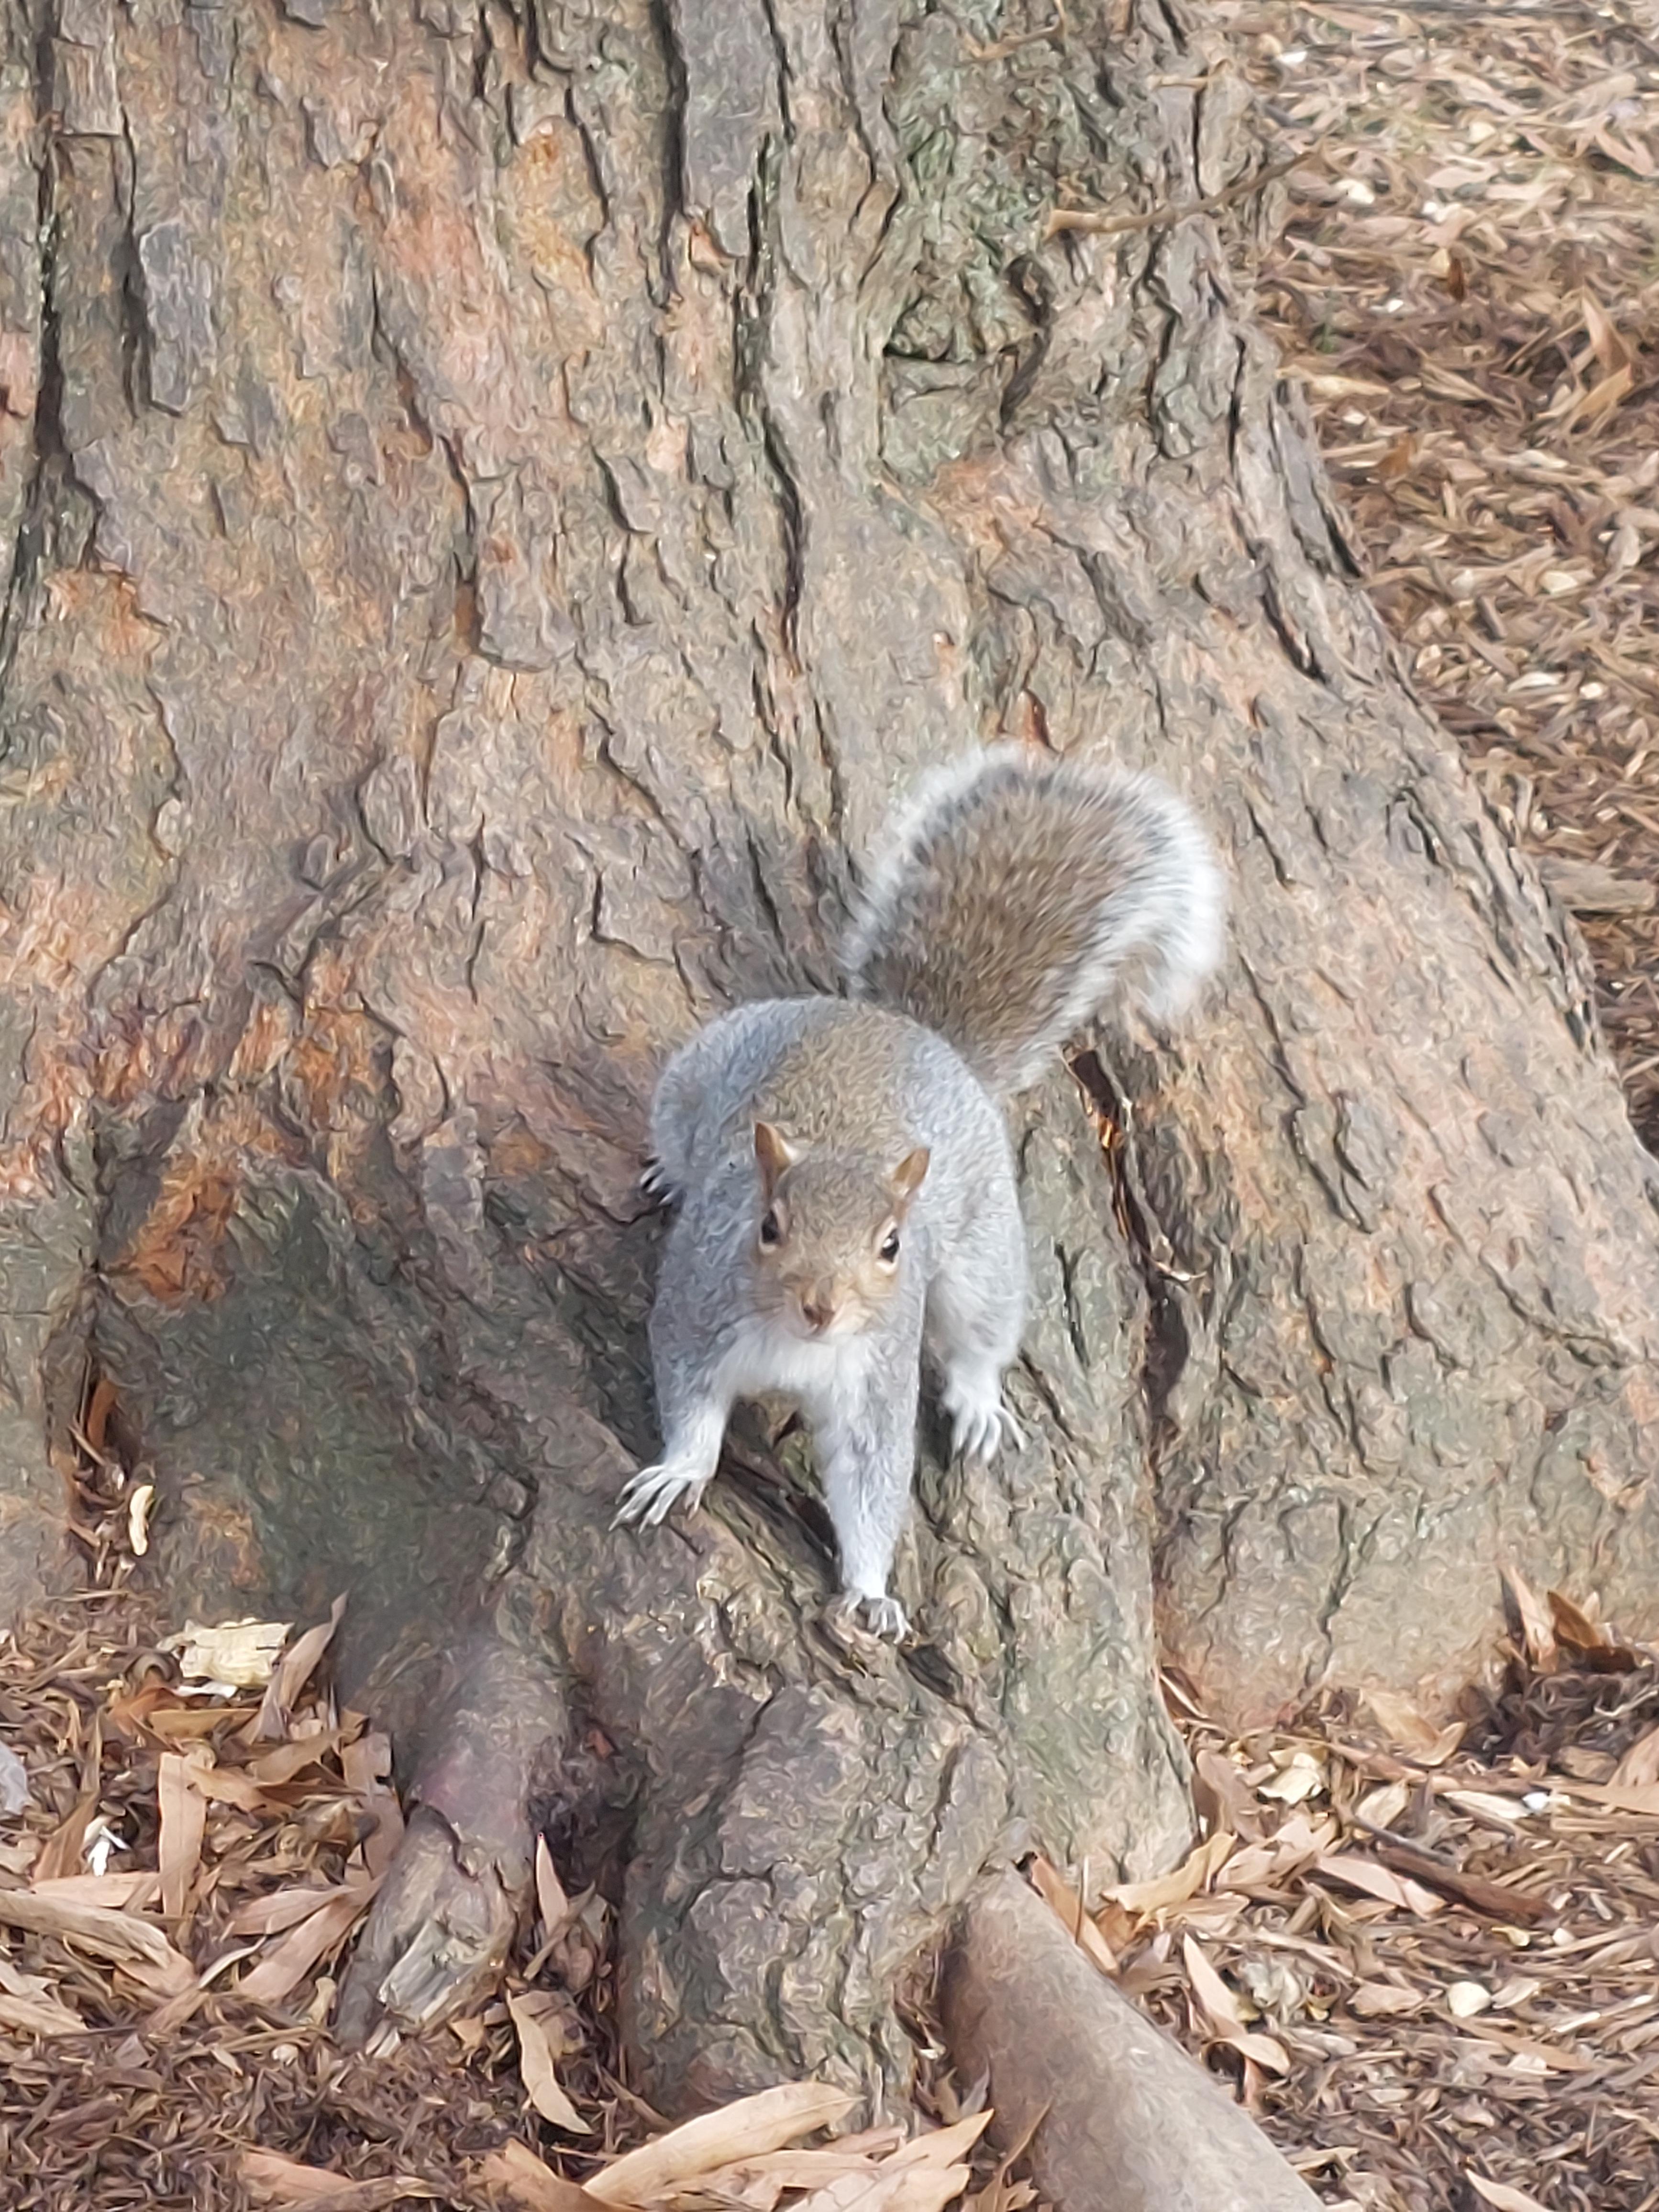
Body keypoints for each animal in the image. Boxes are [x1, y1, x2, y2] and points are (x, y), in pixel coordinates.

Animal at [614, 747, 1225, 1642]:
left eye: (891, 1245)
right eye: (768, 1225)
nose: (821, 1305)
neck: (797, 1347)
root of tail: (915, 1031)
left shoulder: (875, 1378)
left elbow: (871, 1483)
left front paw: (870, 1589)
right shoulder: (699, 1311)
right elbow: (691, 1403)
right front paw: (679, 1472)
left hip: (983, 1247)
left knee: (981, 1328)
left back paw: (976, 1399)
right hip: (692, 1080)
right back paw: (669, 1169)